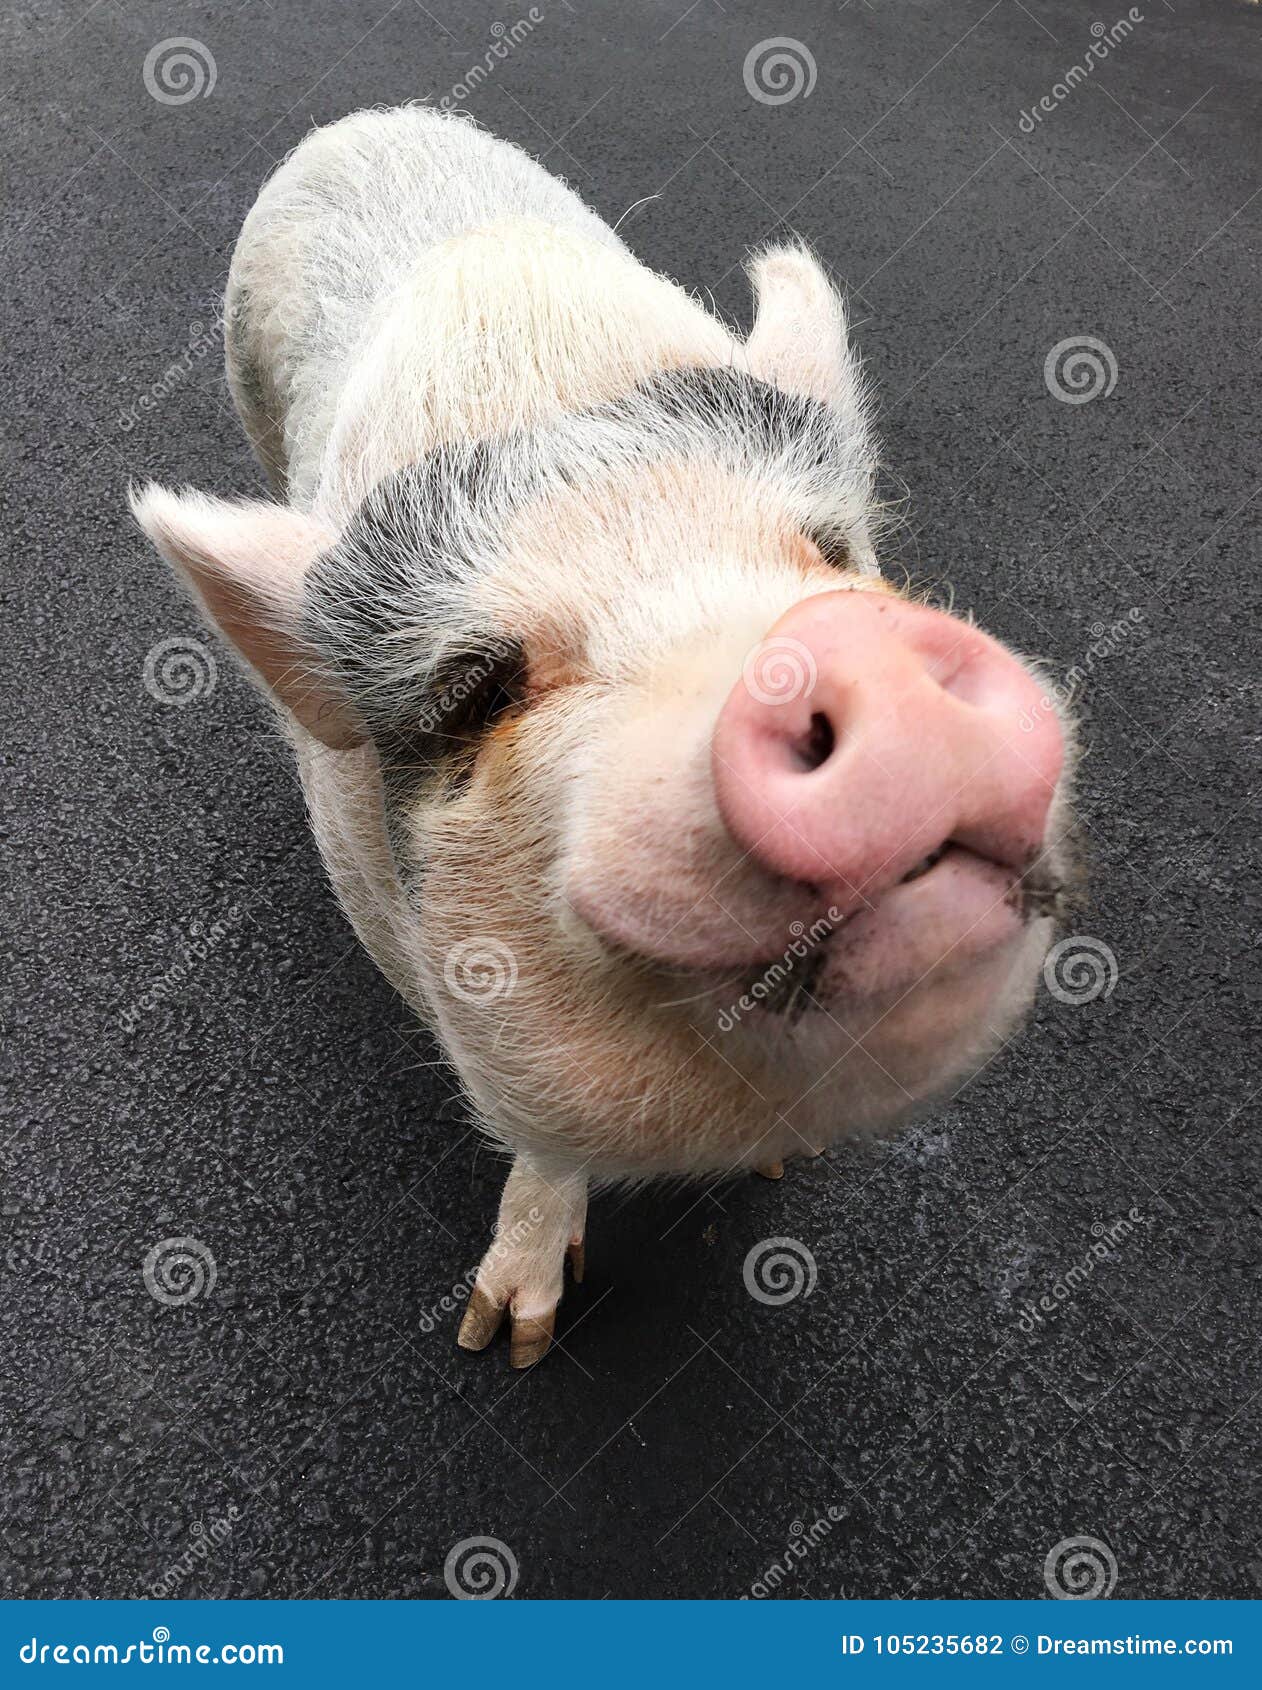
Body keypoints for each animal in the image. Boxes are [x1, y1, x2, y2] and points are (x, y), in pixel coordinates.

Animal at [132, 105, 1079, 1367]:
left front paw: (783, 1169)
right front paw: (505, 1339)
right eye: (477, 691)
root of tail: (370, 118)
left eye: (829, 553)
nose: (844, 650)